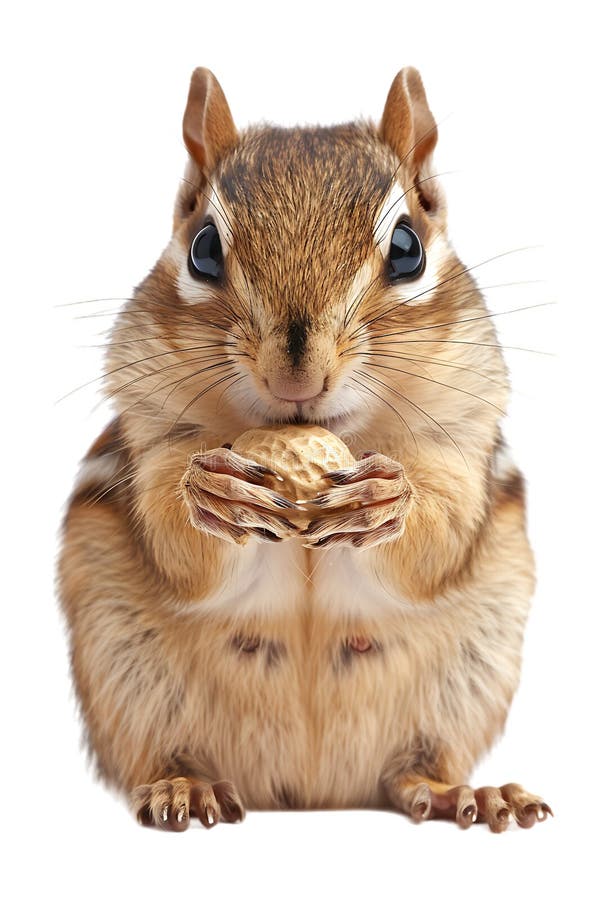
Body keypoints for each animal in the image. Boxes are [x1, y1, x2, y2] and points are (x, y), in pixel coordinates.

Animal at [58, 66, 551, 831]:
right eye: (203, 248)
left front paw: (388, 498)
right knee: (161, 755)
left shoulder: (462, 439)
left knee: (411, 772)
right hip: (124, 673)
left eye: (407, 248)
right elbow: (176, 545)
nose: (298, 375)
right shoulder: (149, 431)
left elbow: (437, 540)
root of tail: (312, 794)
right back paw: (184, 786)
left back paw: (461, 792)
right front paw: (211, 491)